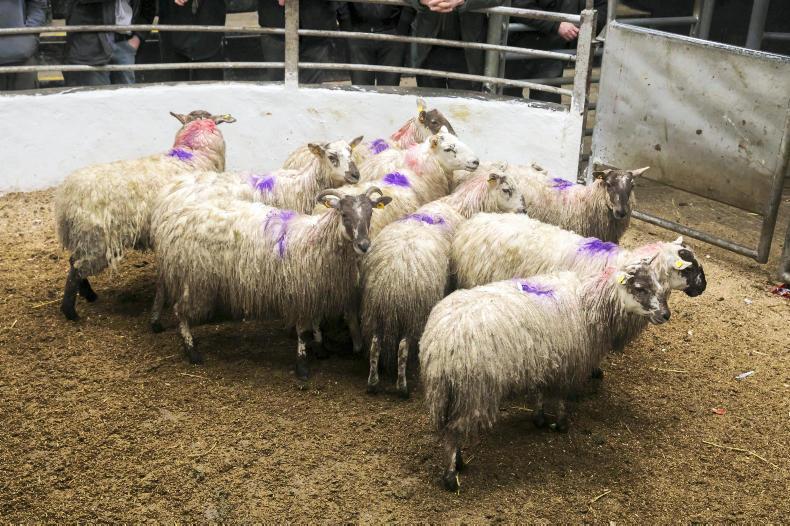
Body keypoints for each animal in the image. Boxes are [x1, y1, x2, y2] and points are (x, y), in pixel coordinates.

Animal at [55, 110, 234, 321]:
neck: (192, 154)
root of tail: (66, 197)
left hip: (84, 238)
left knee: (73, 262)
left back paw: (88, 295)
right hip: (96, 239)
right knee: (76, 268)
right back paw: (70, 311)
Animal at [151, 186, 391, 379]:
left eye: (370, 213)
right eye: (344, 214)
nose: (364, 245)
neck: (317, 240)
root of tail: (172, 220)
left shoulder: (315, 287)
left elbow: (315, 320)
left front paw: (321, 348)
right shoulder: (299, 291)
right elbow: (302, 330)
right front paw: (302, 367)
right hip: (195, 278)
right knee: (180, 310)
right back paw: (192, 351)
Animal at [361, 170, 526, 398]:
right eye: (507, 190)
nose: (523, 210)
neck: (460, 206)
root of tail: (391, 281)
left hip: (373, 310)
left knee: (375, 344)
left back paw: (372, 382)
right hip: (414, 312)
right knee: (402, 348)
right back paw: (402, 387)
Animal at [419, 257, 670, 491]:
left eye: (658, 283)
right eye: (640, 288)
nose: (666, 314)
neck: (589, 303)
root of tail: (439, 341)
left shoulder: (545, 360)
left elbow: (539, 392)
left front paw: (539, 418)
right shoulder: (568, 364)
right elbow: (560, 397)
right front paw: (561, 424)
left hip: (454, 391)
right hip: (474, 391)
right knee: (453, 432)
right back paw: (452, 474)